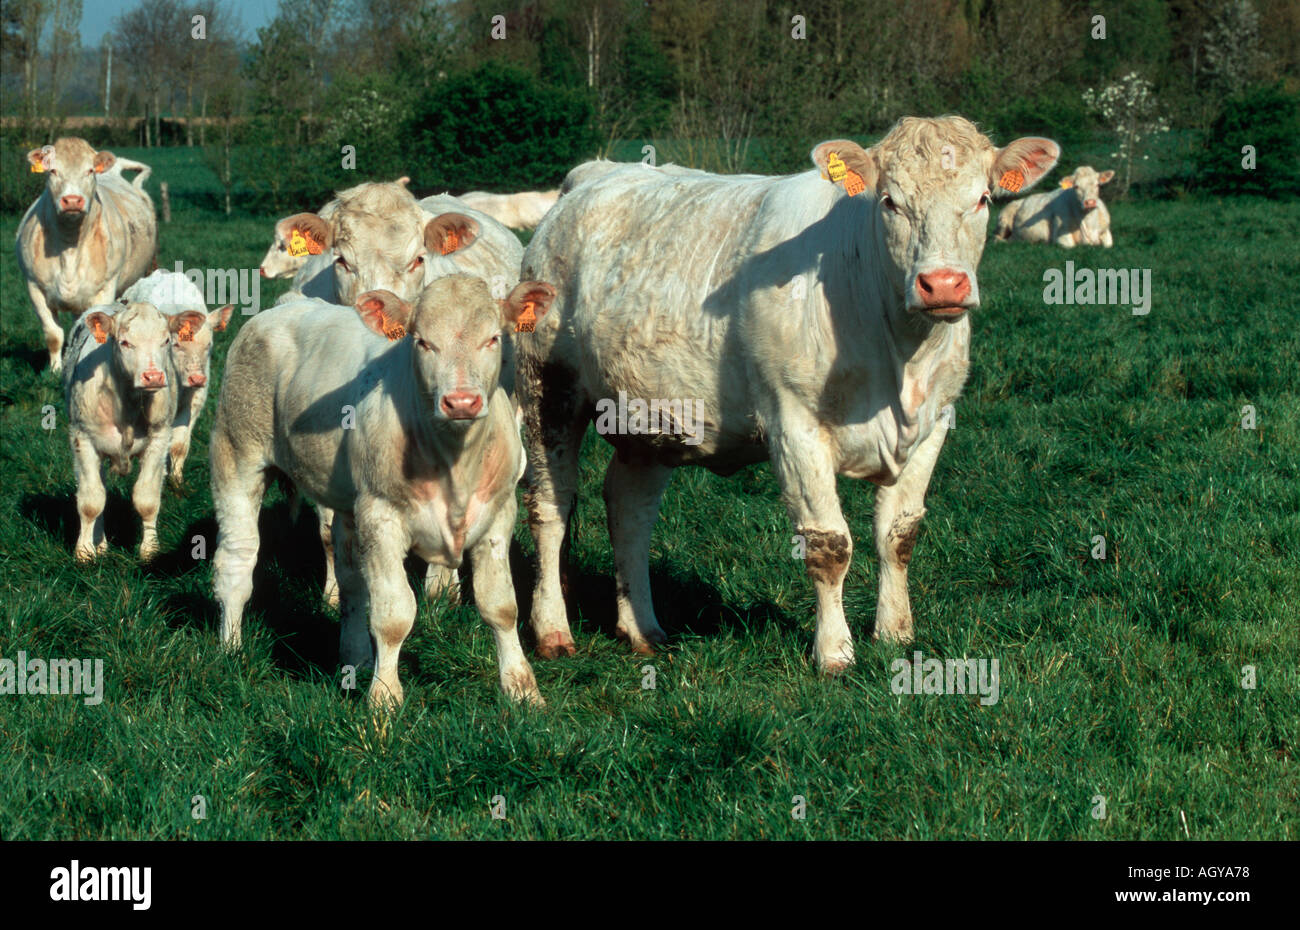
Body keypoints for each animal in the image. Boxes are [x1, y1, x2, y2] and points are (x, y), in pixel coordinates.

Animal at [16, 138, 157, 373]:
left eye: (90, 171)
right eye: (53, 170)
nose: (72, 200)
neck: (69, 246)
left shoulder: (104, 289)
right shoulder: (34, 287)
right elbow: (53, 335)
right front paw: (55, 370)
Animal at [64, 301, 200, 562]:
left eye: (166, 340)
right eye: (125, 342)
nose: (153, 376)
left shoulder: (159, 439)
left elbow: (146, 498)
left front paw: (150, 549)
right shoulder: (83, 439)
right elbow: (91, 501)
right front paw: (84, 552)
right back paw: (99, 543)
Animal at [120, 271, 234, 486]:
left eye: (209, 344)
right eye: (175, 344)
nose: (197, 378)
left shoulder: (196, 399)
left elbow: (179, 444)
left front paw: (176, 479)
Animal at [209, 275, 556, 708]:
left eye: (493, 338)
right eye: (421, 342)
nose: (461, 401)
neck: (454, 460)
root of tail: (286, 306)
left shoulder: (498, 515)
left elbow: (501, 605)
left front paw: (522, 689)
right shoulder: (382, 516)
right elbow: (393, 616)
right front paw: (384, 697)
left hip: (345, 503)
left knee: (352, 584)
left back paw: (354, 660)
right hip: (236, 454)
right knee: (237, 560)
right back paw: (231, 649)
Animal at [516, 116, 1059, 670]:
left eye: (982, 199)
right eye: (890, 201)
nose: (944, 284)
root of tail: (594, 174)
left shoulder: (934, 424)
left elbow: (899, 534)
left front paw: (895, 634)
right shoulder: (794, 424)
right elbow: (829, 545)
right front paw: (835, 652)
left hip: (650, 415)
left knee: (630, 507)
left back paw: (642, 627)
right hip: (546, 386)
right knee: (551, 506)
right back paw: (554, 630)